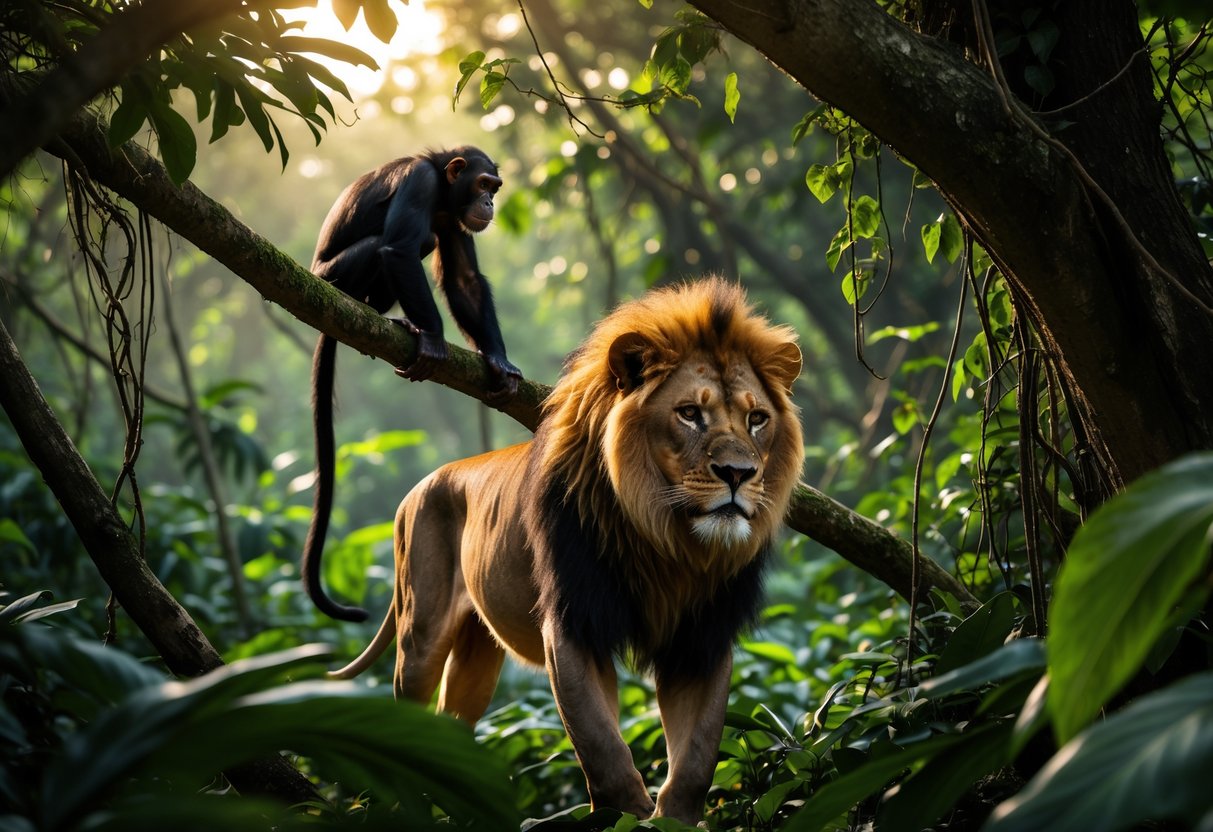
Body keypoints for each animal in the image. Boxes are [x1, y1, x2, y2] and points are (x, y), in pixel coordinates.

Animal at [302, 146, 522, 621]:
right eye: (484, 184)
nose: (490, 202)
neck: (443, 188)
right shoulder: (420, 182)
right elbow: (401, 250)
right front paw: (435, 339)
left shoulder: (454, 220)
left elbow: (465, 280)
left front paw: (498, 359)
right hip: (335, 279)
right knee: (400, 246)